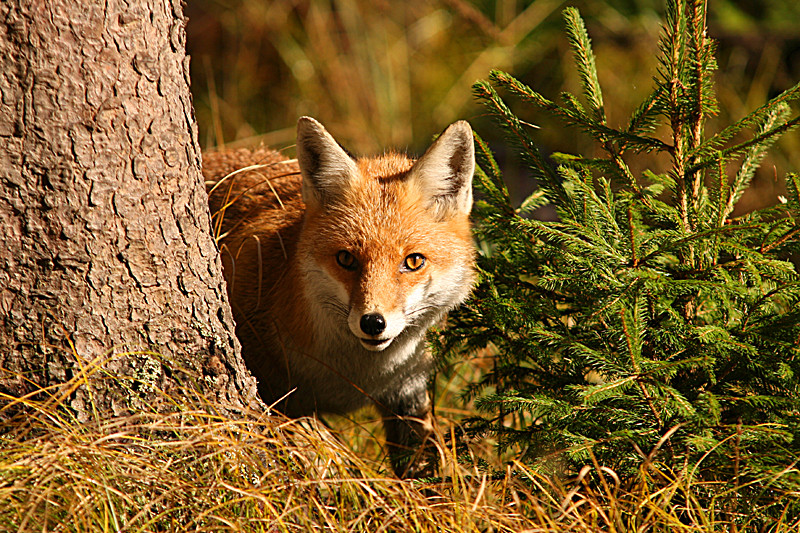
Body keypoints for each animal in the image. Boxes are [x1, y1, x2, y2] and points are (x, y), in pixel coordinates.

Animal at [203, 117, 476, 477]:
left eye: (414, 261)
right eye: (346, 259)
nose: (373, 323)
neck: (355, 377)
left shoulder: (409, 393)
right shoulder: (276, 387)